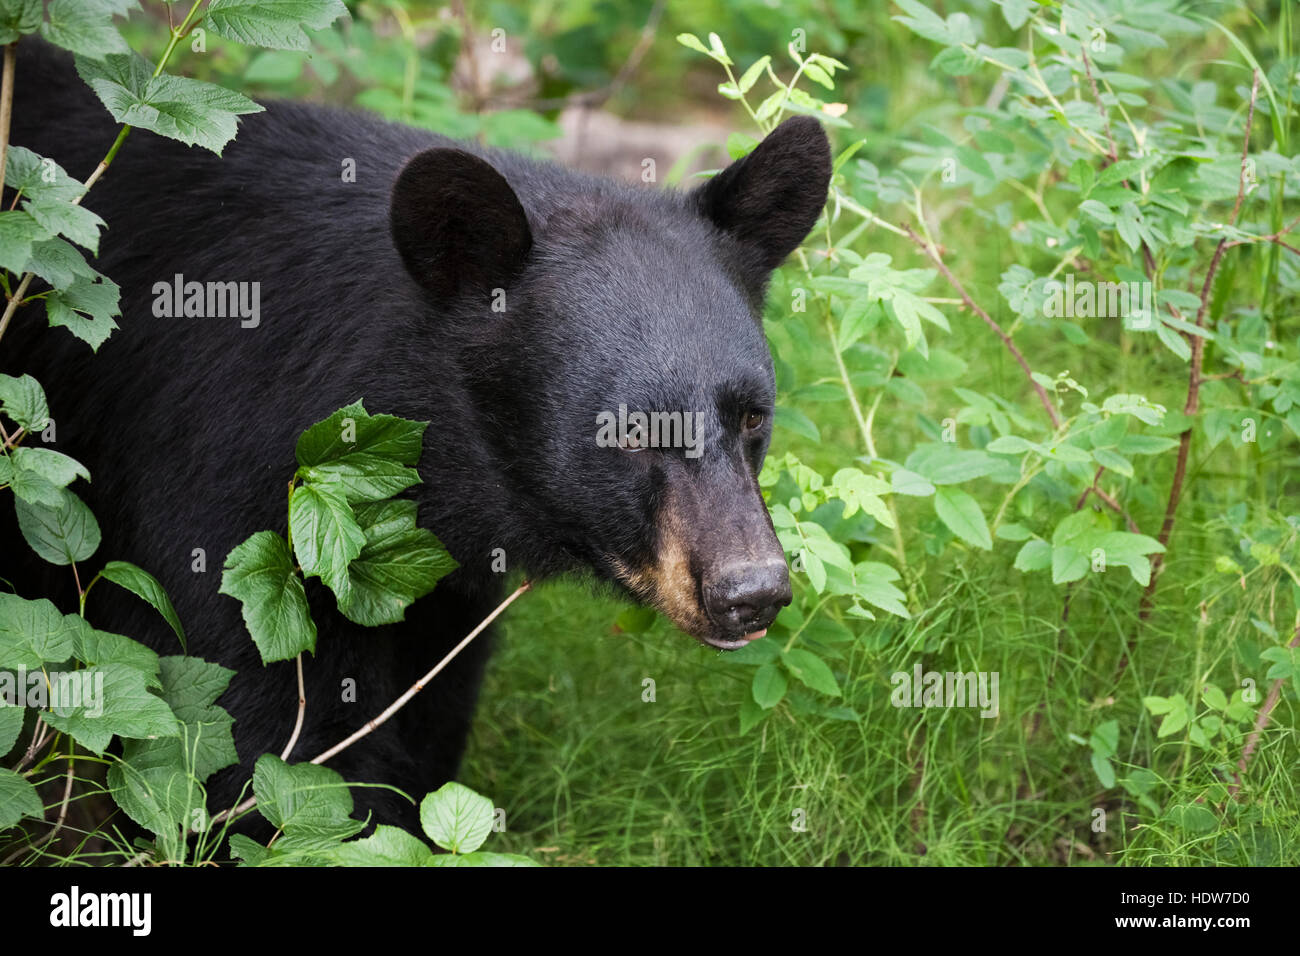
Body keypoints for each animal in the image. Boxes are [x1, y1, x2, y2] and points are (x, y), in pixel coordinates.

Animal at [1, 40, 831, 836]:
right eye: (628, 429)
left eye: (752, 415)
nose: (750, 591)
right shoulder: (210, 488)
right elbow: (248, 729)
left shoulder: (441, 586)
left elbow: (432, 707)